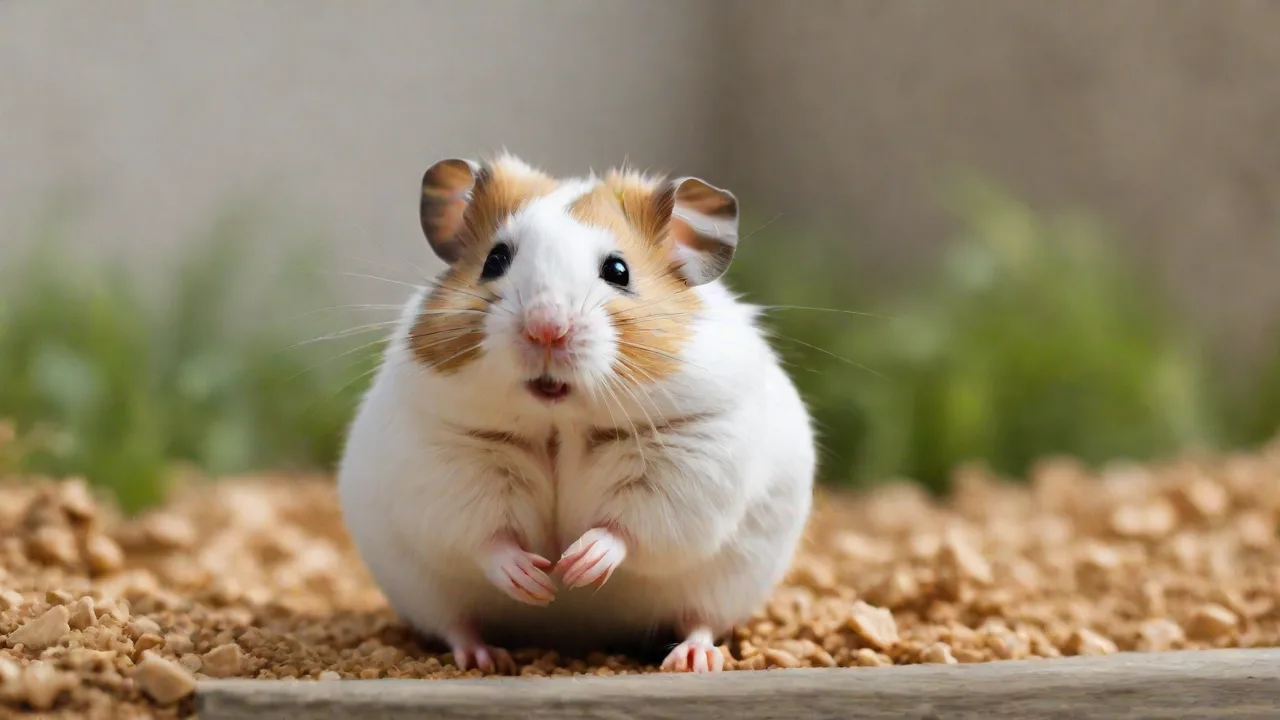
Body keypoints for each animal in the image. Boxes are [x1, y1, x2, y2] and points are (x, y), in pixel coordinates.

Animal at [337, 153, 815, 674]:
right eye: (495, 260)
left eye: (618, 270)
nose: (546, 328)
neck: (559, 423)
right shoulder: (449, 463)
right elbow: (485, 537)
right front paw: (538, 580)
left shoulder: (688, 458)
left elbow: (628, 527)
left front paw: (577, 565)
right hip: (426, 594)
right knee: (455, 625)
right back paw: (486, 657)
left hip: (724, 587)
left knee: (701, 621)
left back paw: (692, 660)